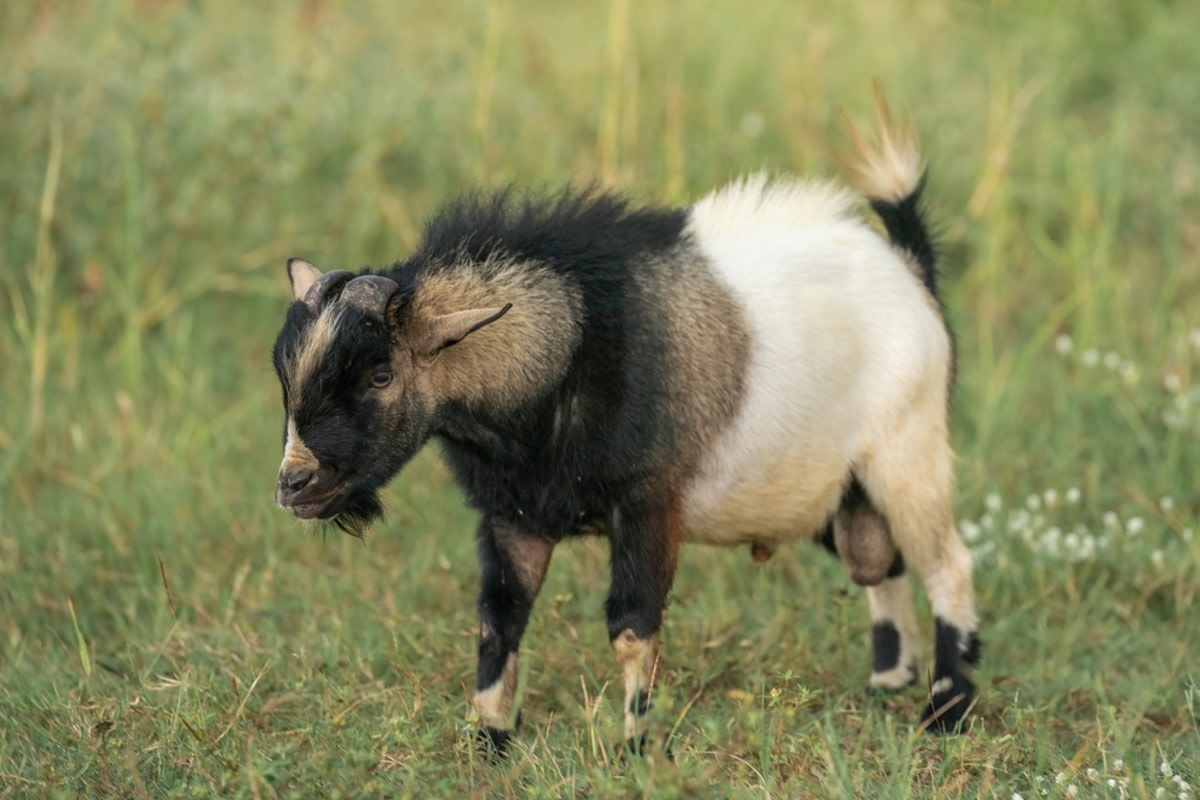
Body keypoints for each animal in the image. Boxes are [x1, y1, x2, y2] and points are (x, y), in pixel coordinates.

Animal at [270, 100, 980, 756]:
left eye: (380, 373)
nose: (294, 484)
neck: (571, 345)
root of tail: (910, 270)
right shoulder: (514, 515)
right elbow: (499, 620)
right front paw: (489, 741)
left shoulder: (646, 504)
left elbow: (632, 623)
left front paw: (637, 746)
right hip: (833, 491)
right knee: (879, 561)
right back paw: (888, 681)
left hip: (907, 453)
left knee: (948, 564)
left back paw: (946, 713)